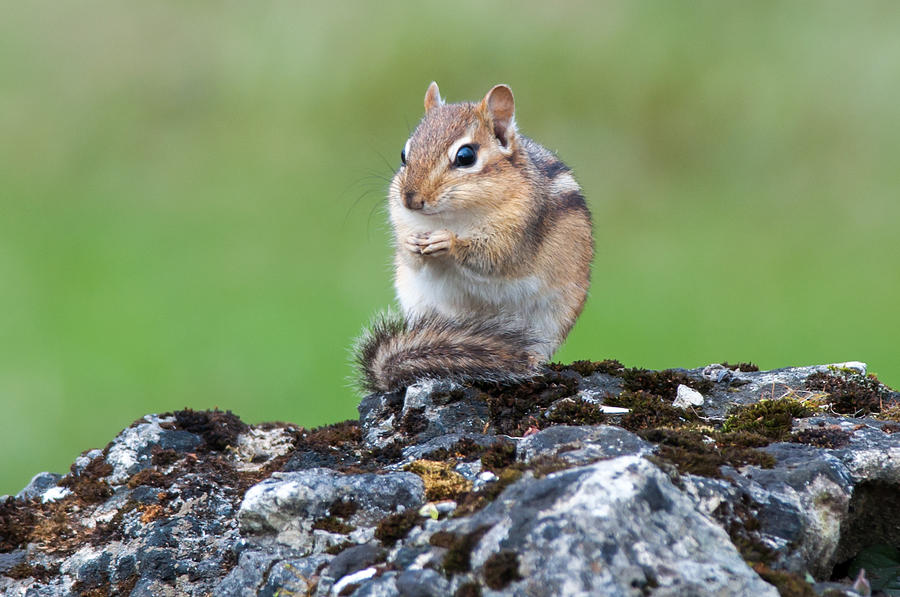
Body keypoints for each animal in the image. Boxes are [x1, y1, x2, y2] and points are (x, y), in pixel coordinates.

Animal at [356, 82, 593, 393]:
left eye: (465, 156)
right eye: (403, 155)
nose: (411, 199)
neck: (451, 217)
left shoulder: (516, 233)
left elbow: (491, 257)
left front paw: (448, 242)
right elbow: (413, 258)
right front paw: (409, 243)